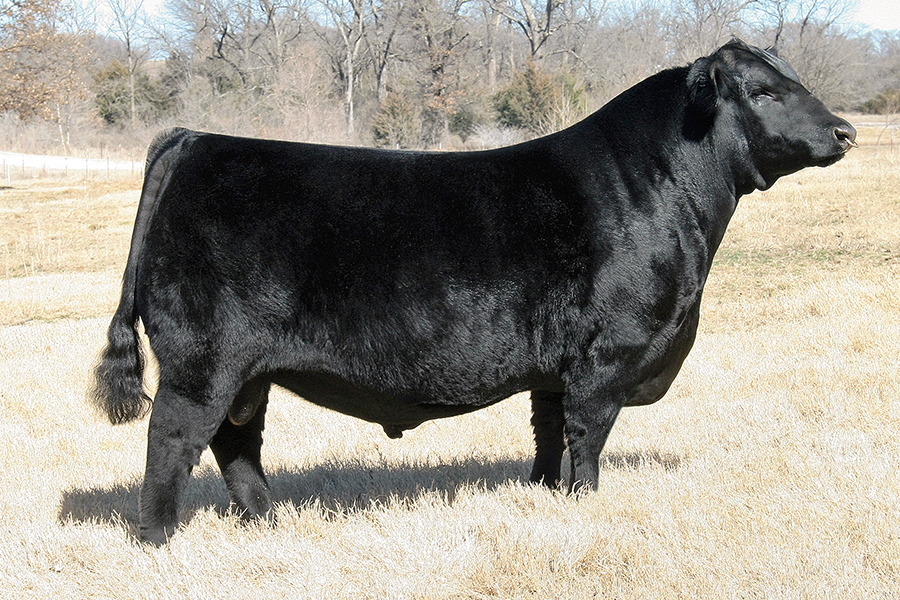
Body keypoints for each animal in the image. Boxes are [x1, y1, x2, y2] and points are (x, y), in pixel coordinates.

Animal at [92, 39, 856, 545]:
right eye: (763, 92)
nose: (845, 130)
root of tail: (197, 138)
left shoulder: (555, 367)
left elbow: (547, 430)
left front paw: (545, 493)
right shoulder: (606, 356)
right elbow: (589, 435)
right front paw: (586, 505)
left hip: (248, 369)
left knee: (236, 442)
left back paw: (270, 521)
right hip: (202, 361)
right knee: (174, 438)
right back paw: (158, 540)